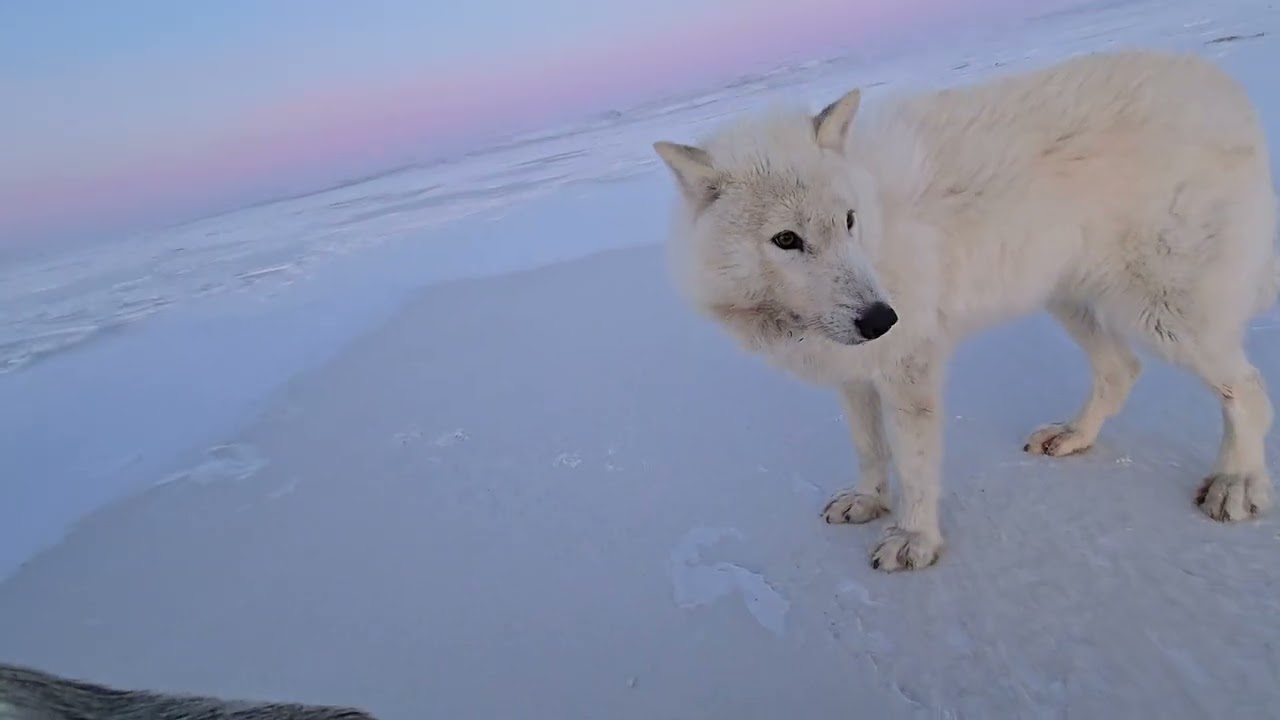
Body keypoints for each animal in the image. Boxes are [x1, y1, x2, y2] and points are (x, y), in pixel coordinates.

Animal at [653, 50, 1279, 571]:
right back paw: (1074, 436)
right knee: (1122, 370)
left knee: (1248, 389)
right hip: (1068, 300)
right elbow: (868, 448)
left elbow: (914, 464)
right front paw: (869, 501)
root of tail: (1226, 89)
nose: (881, 319)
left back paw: (1239, 482)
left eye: (849, 220)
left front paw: (915, 539)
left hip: (1167, 314)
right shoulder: (854, 374)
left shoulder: (908, 369)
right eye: (786, 240)